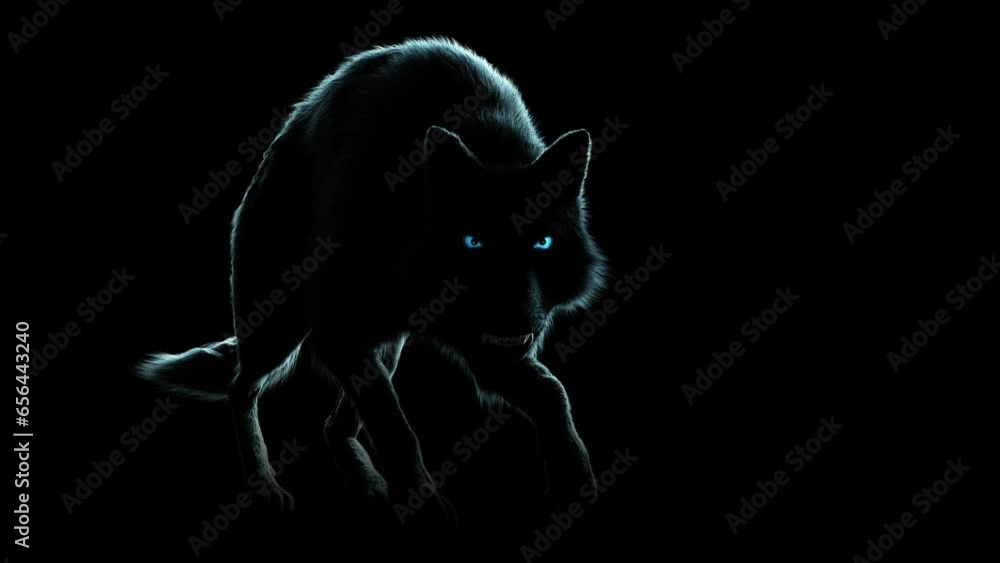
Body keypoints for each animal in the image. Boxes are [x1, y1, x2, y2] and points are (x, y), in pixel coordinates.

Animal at [138, 38, 607, 522]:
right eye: (473, 241)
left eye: (542, 243)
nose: (513, 319)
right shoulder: (338, 332)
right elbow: (394, 424)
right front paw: (424, 505)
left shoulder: (486, 352)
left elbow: (552, 392)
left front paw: (574, 481)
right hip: (277, 318)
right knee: (242, 387)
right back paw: (265, 486)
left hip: (384, 344)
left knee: (333, 423)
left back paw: (365, 483)